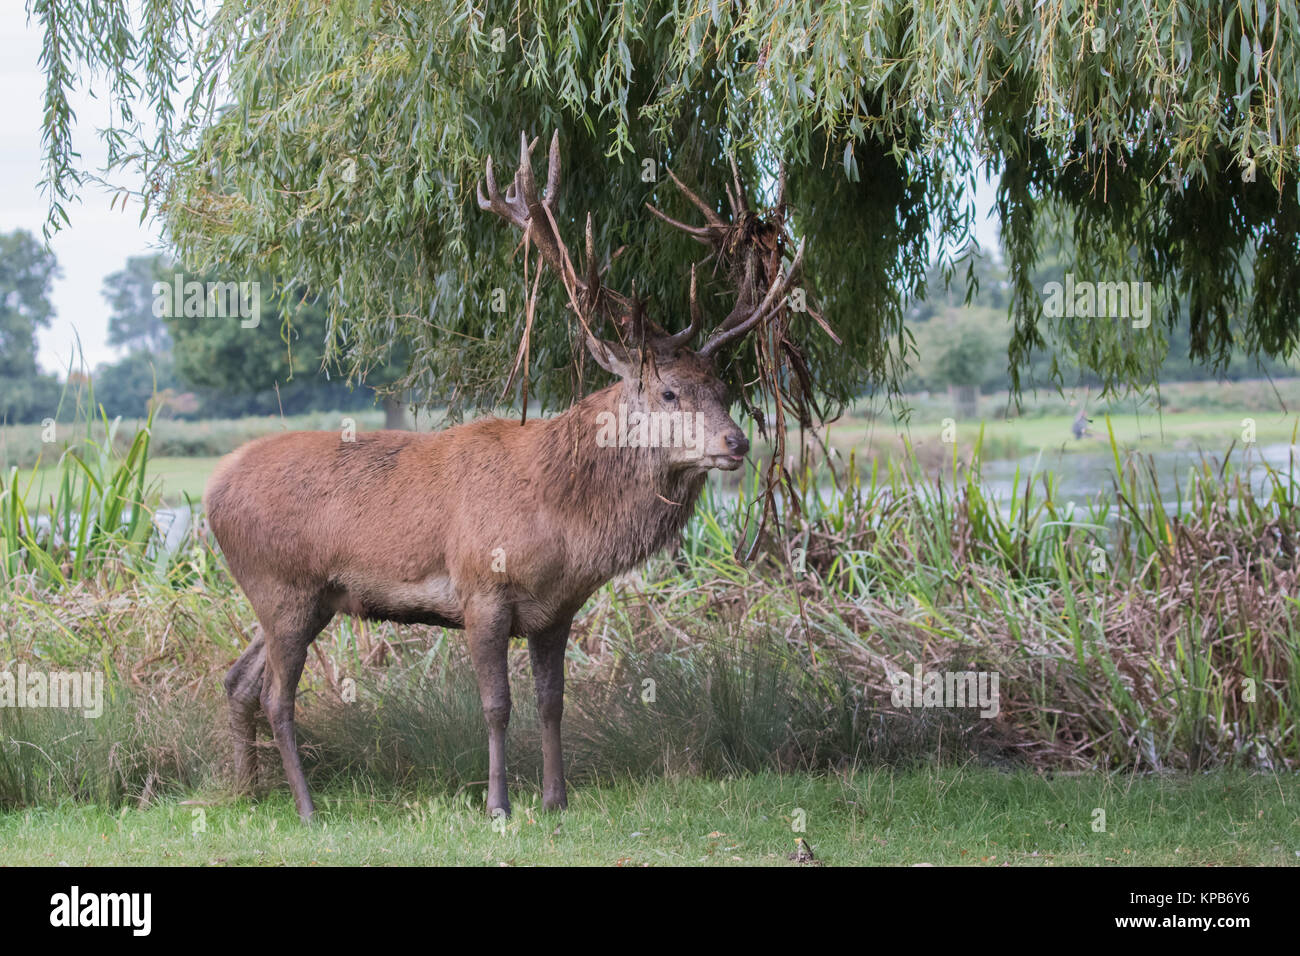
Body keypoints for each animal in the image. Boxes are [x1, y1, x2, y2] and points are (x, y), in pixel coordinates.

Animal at [205, 131, 805, 822]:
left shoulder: (557, 609)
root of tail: (212, 488)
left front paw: (556, 797)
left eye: (727, 389)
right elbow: (496, 705)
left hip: (301, 597)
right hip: (282, 584)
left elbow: (553, 702)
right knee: (276, 695)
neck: (560, 522)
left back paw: (246, 791)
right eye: (669, 391)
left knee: (239, 679)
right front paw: (497, 804)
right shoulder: (480, 588)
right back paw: (304, 807)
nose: (736, 442)